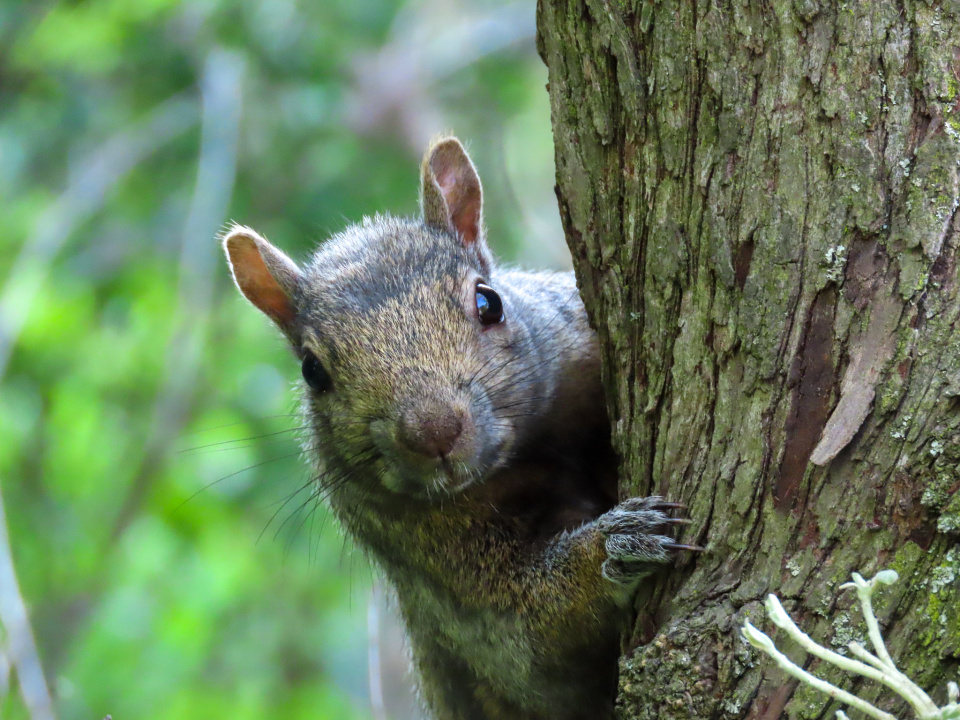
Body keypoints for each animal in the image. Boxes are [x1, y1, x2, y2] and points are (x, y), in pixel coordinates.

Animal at [222, 137, 698, 720]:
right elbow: (531, 639)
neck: (533, 456)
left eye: (488, 301)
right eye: (313, 371)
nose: (433, 432)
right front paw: (616, 545)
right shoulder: (433, 560)